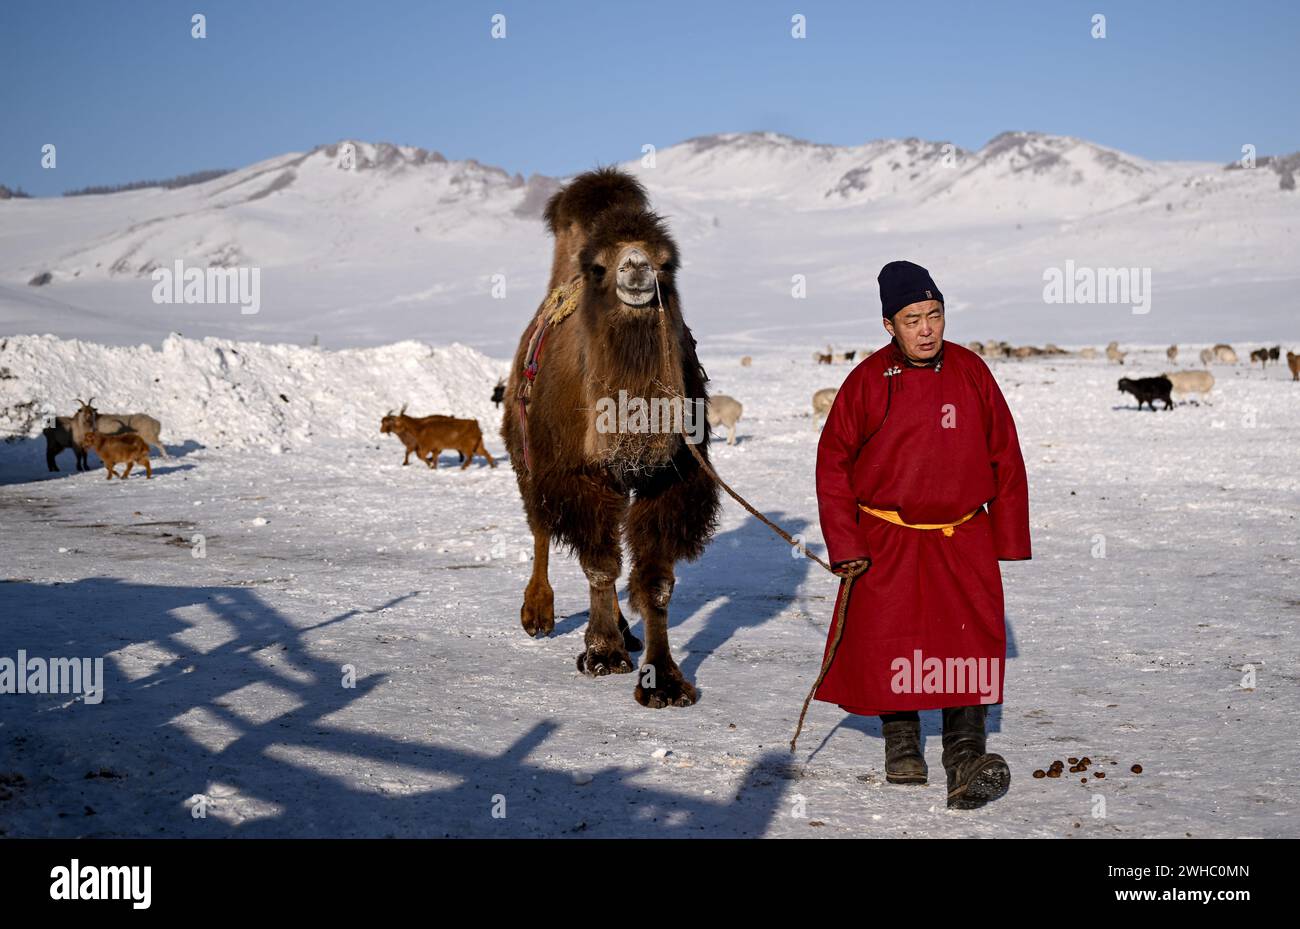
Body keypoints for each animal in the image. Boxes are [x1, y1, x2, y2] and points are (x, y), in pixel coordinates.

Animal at [501, 168, 719, 708]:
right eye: (599, 266)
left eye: (666, 262)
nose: (636, 267)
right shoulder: (577, 472)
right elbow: (599, 565)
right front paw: (602, 654)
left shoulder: (670, 476)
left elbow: (656, 581)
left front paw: (663, 679)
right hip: (527, 454)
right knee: (541, 526)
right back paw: (538, 614)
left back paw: (624, 628)